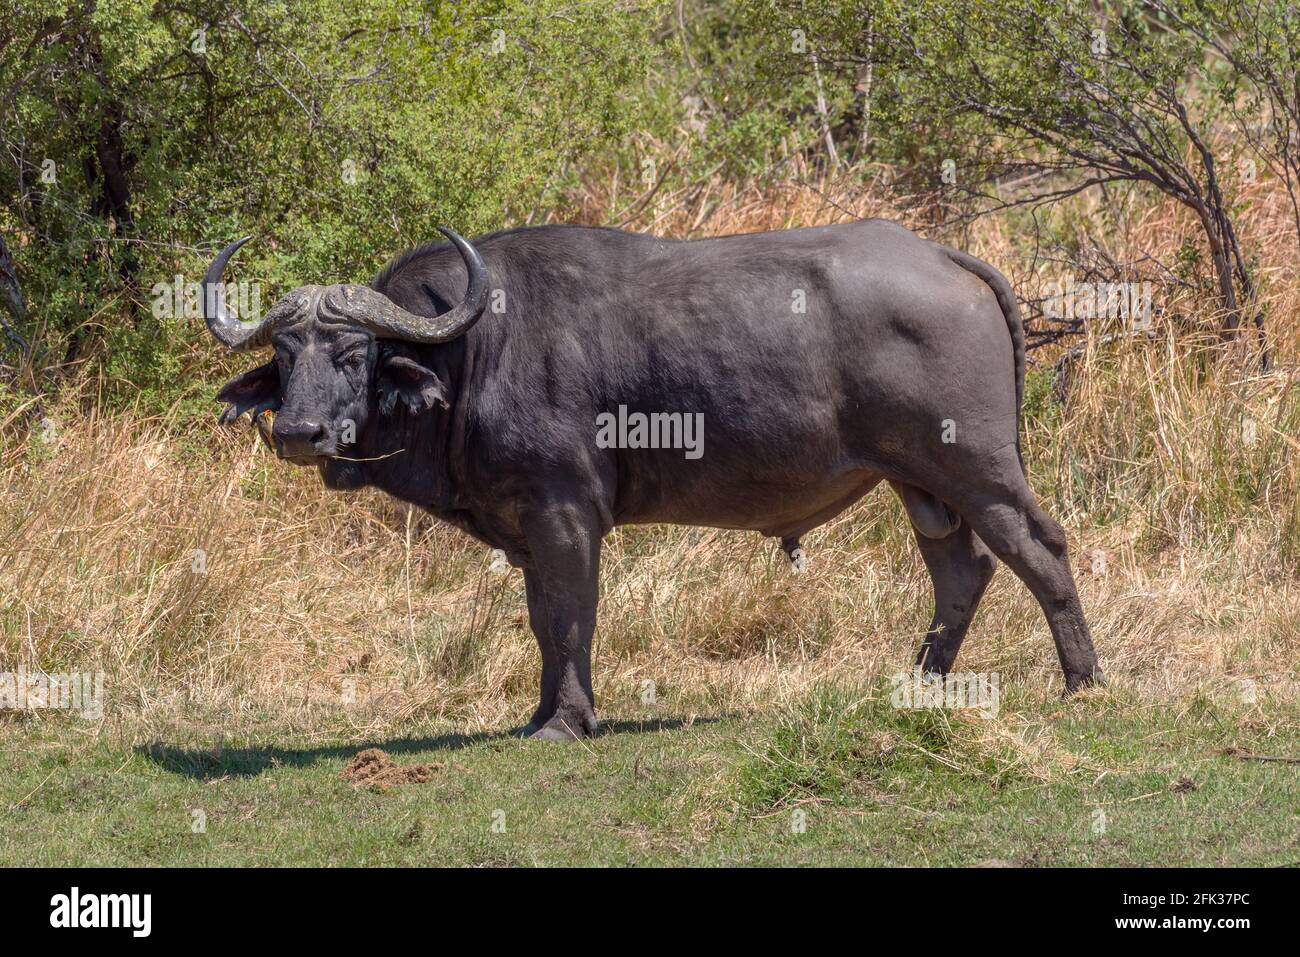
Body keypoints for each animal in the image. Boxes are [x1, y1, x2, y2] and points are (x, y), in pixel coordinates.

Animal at [202, 220, 1105, 740]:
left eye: (354, 354)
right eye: (287, 354)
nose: (299, 433)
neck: (476, 350)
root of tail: (944, 257)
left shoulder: (564, 514)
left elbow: (571, 619)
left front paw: (567, 722)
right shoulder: (528, 528)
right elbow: (542, 623)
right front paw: (541, 713)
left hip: (979, 467)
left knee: (1041, 550)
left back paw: (1083, 682)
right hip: (920, 483)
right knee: (962, 568)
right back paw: (917, 685)